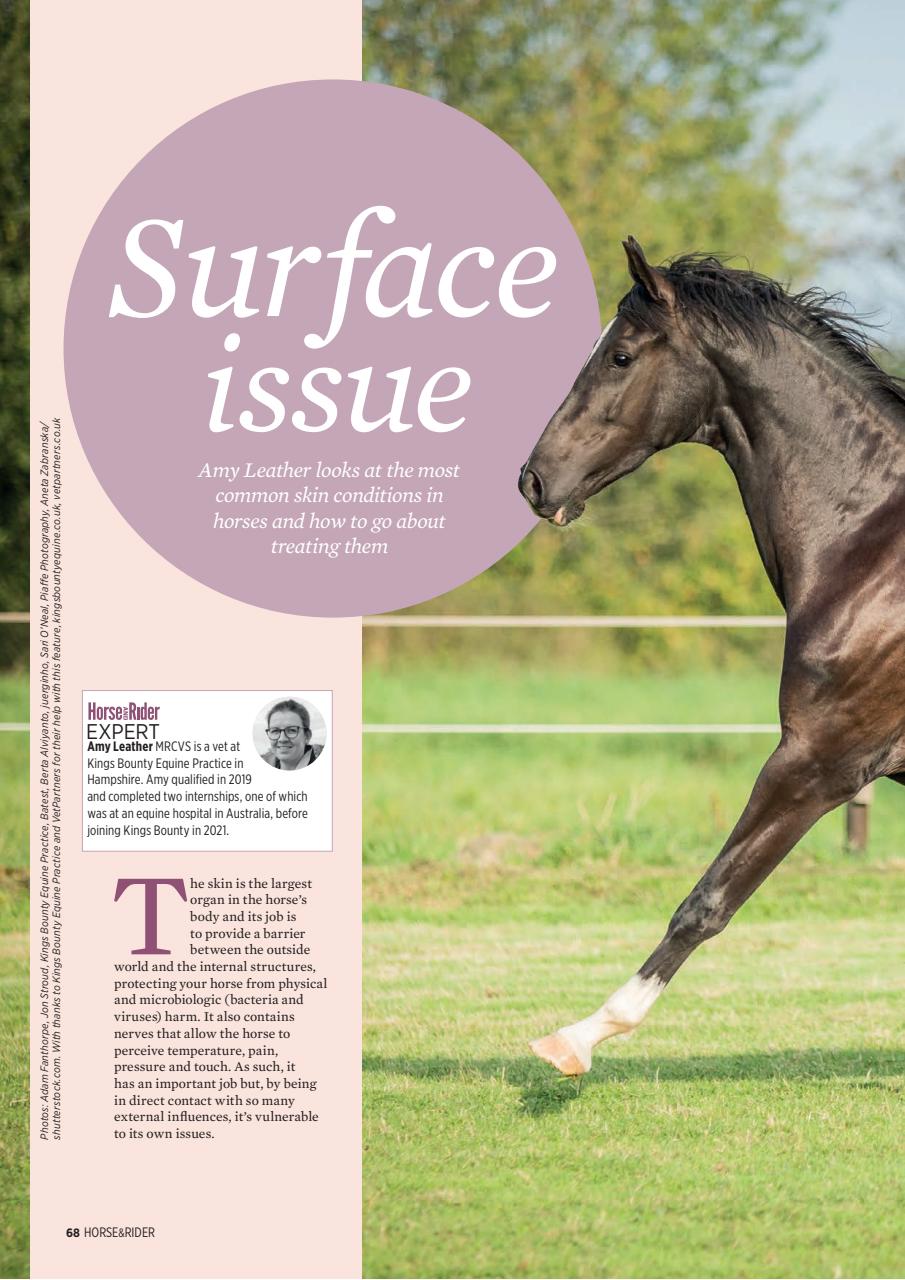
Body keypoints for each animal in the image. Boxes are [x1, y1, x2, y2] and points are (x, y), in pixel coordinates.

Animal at [519, 237, 905, 1076]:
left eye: (620, 355)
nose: (533, 480)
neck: (872, 550)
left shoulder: (814, 762)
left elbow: (704, 903)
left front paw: (578, 1038)